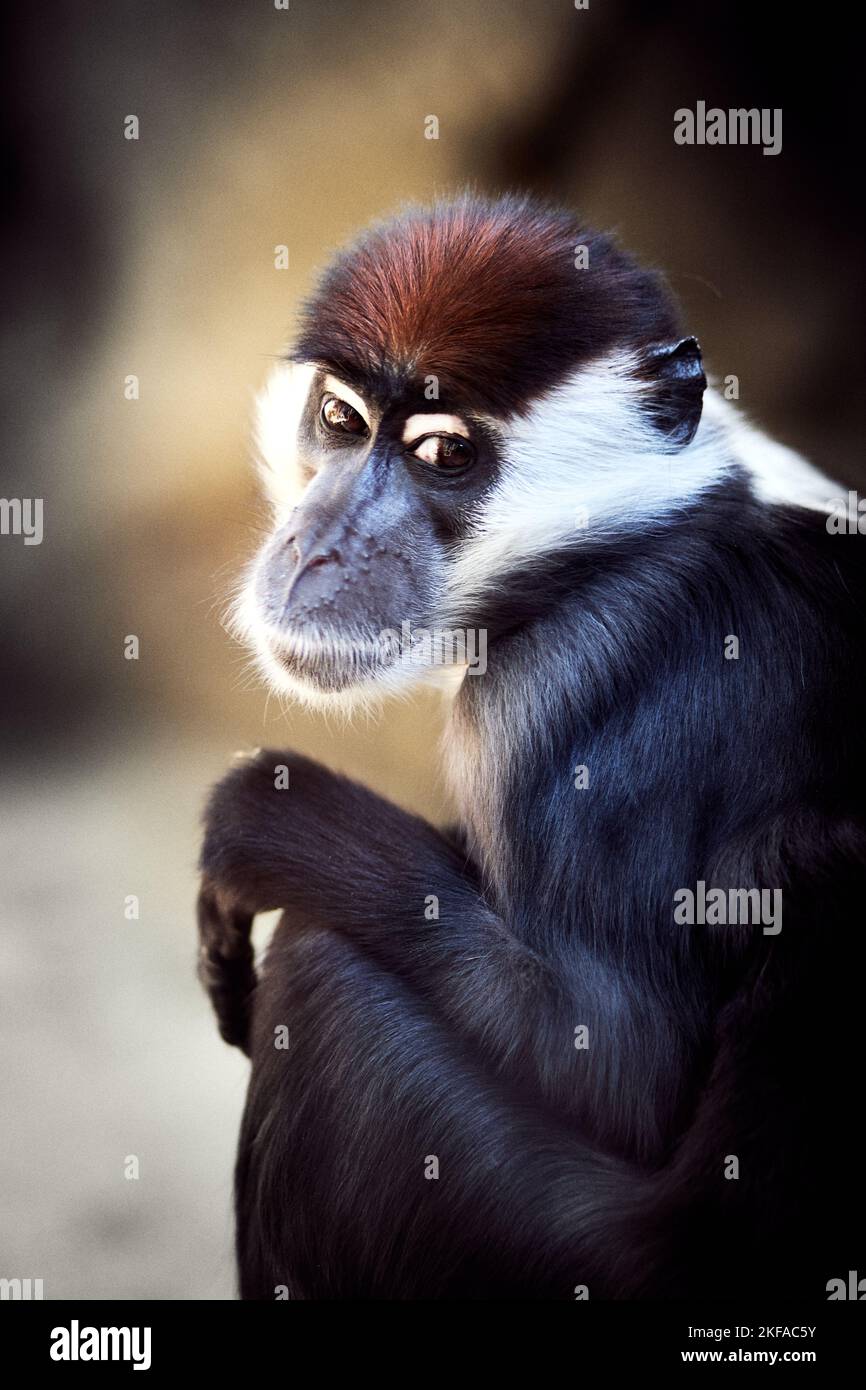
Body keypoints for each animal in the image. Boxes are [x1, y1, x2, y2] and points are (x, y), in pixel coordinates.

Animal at [197, 194, 865, 1300]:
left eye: (441, 455)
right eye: (341, 421)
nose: (316, 548)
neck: (612, 545)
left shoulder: (571, 697)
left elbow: (606, 1060)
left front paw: (259, 817)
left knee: (323, 975)